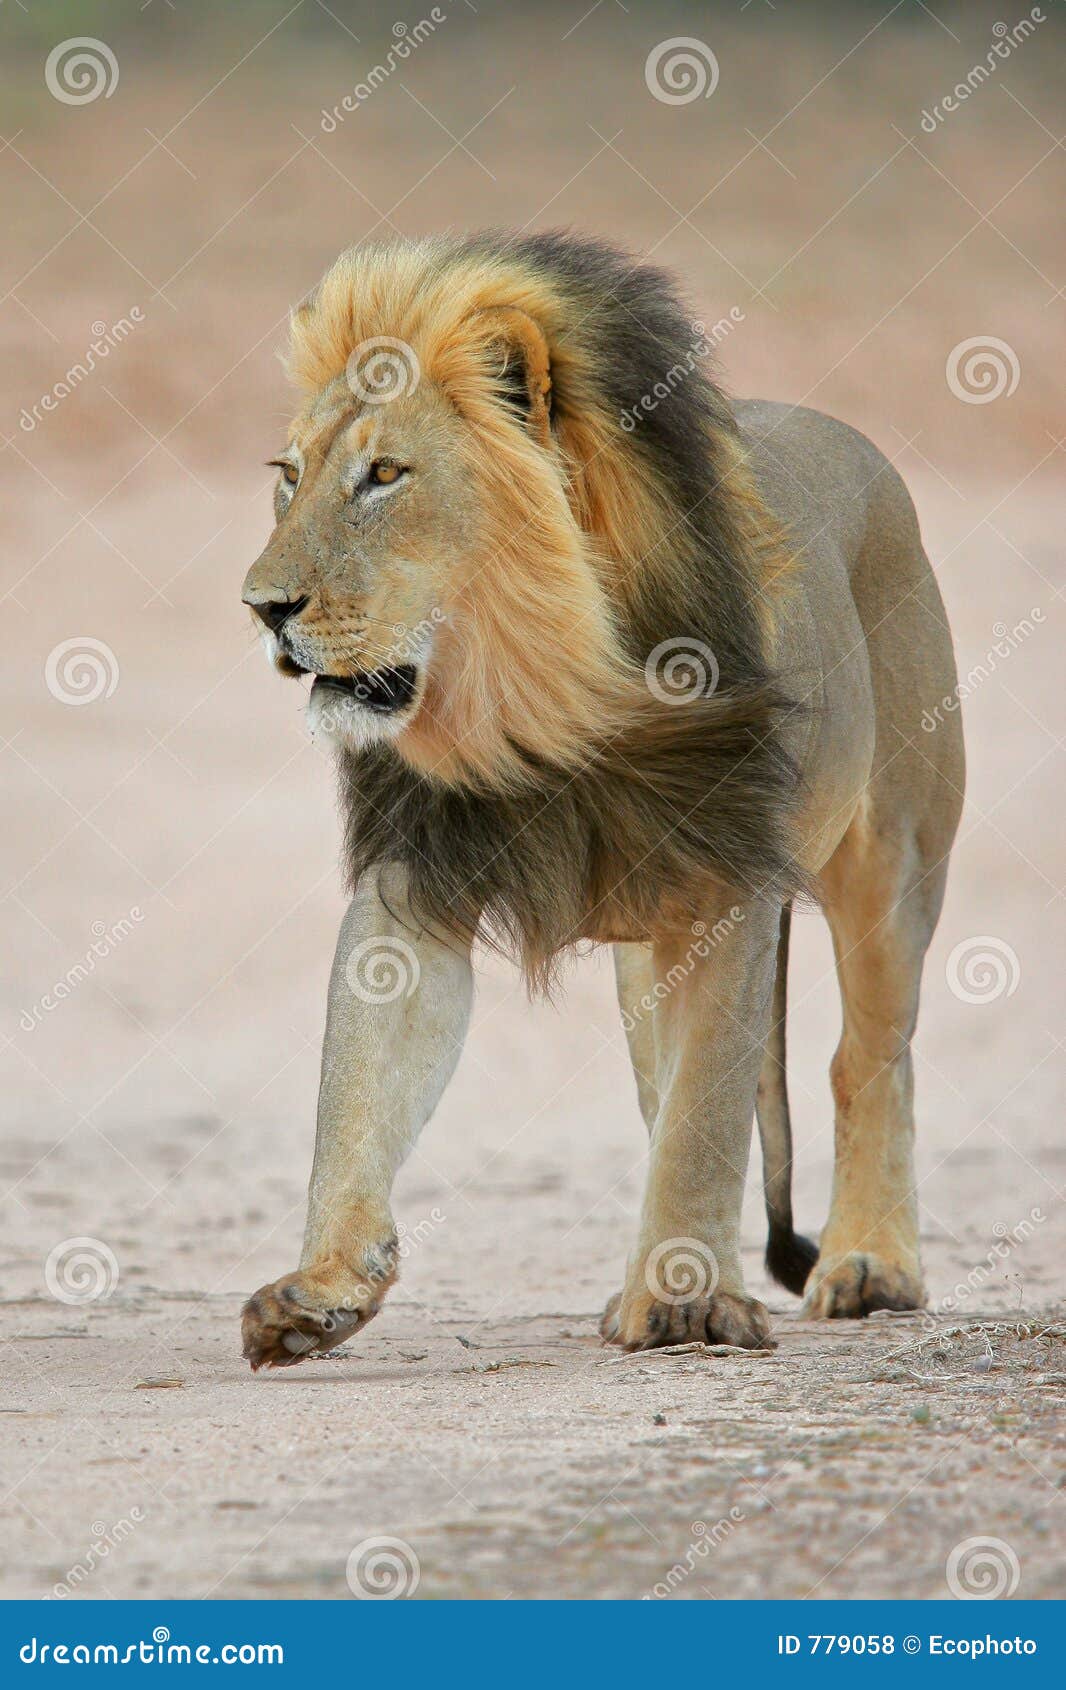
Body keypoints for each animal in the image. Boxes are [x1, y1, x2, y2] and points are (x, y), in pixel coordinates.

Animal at [239, 231, 964, 1368]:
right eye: (290, 477)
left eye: (386, 474)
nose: (262, 607)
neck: (534, 691)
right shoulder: (414, 881)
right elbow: (357, 1088)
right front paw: (321, 1288)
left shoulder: (729, 884)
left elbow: (709, 1116)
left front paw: (681, 1303)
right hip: (646, 958)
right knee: (668, 1084)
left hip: (892, 862)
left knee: (868, 1061)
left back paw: (869, 1265)